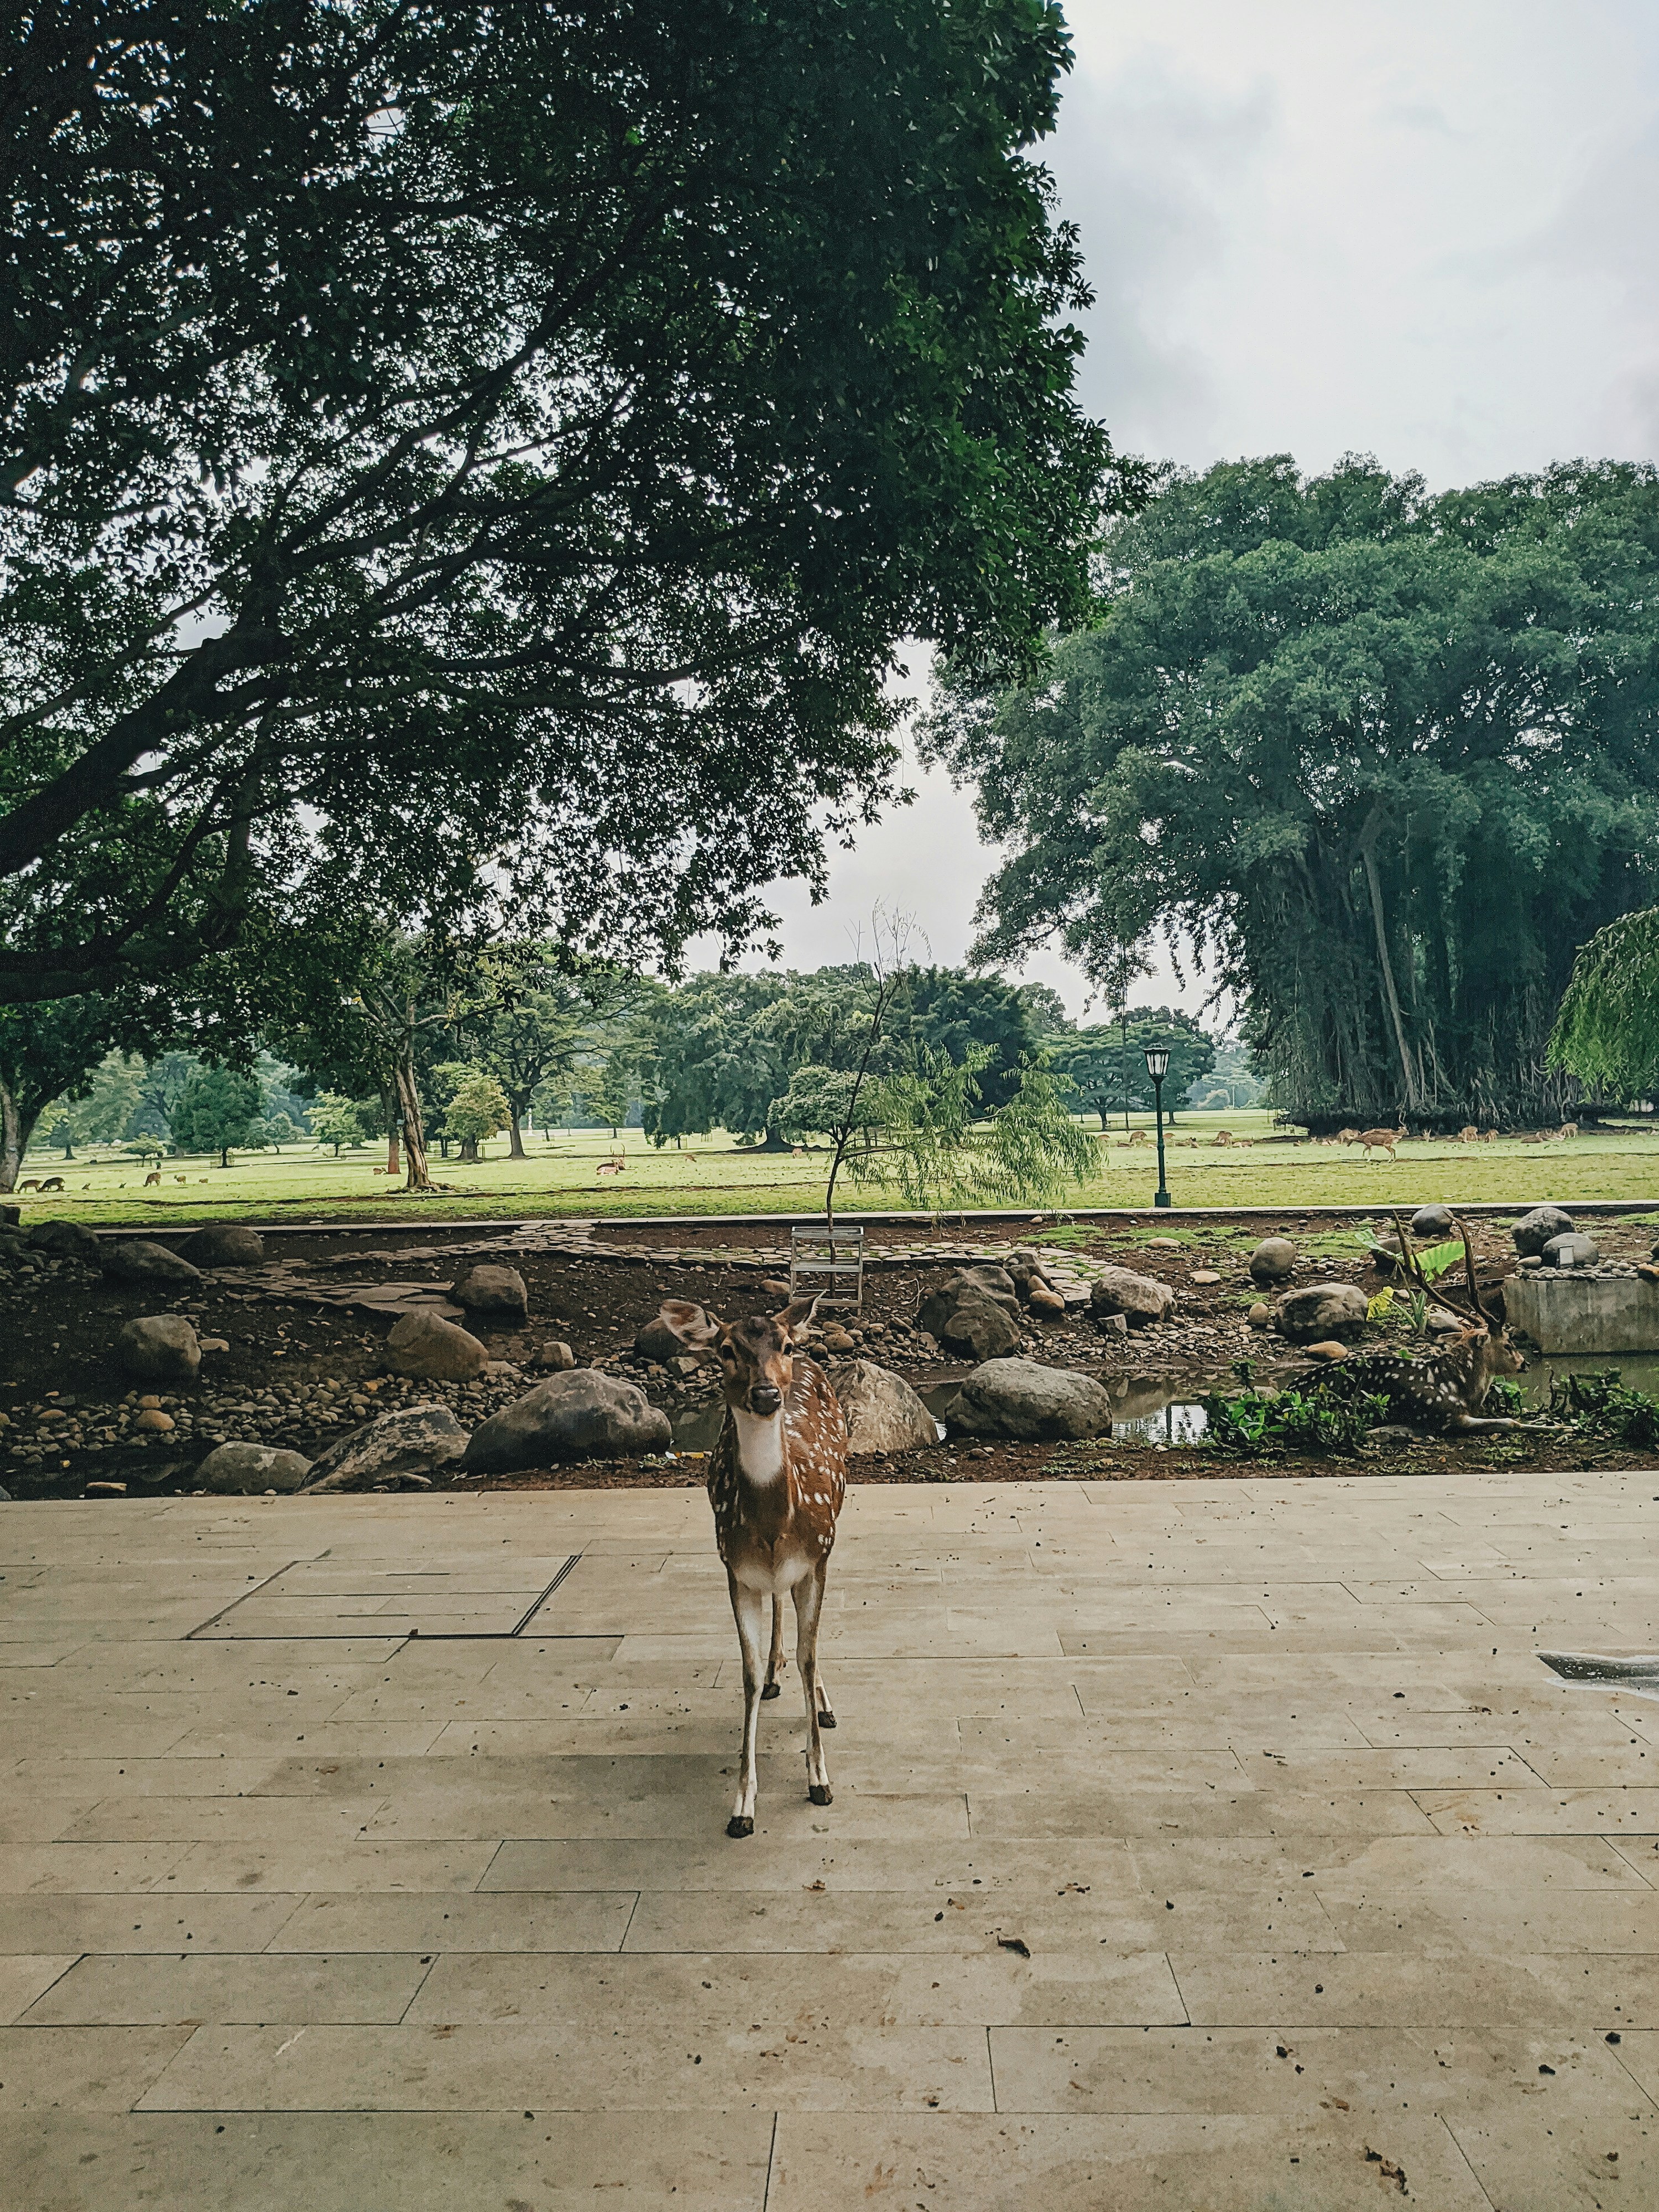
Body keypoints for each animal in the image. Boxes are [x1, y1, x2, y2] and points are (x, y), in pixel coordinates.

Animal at [657, 1293, 847, 1837]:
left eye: (784, 1346)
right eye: (725, 1349)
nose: (766, 1394)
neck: (773, 1526)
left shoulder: (818, 1556)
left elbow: (810, 1655)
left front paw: (819, 1779)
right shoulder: (735, 1570)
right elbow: (745, 1674)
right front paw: (742, 1803)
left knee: (808, 1641)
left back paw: (821, 1702)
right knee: (779, 1610)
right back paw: (775, 1673)